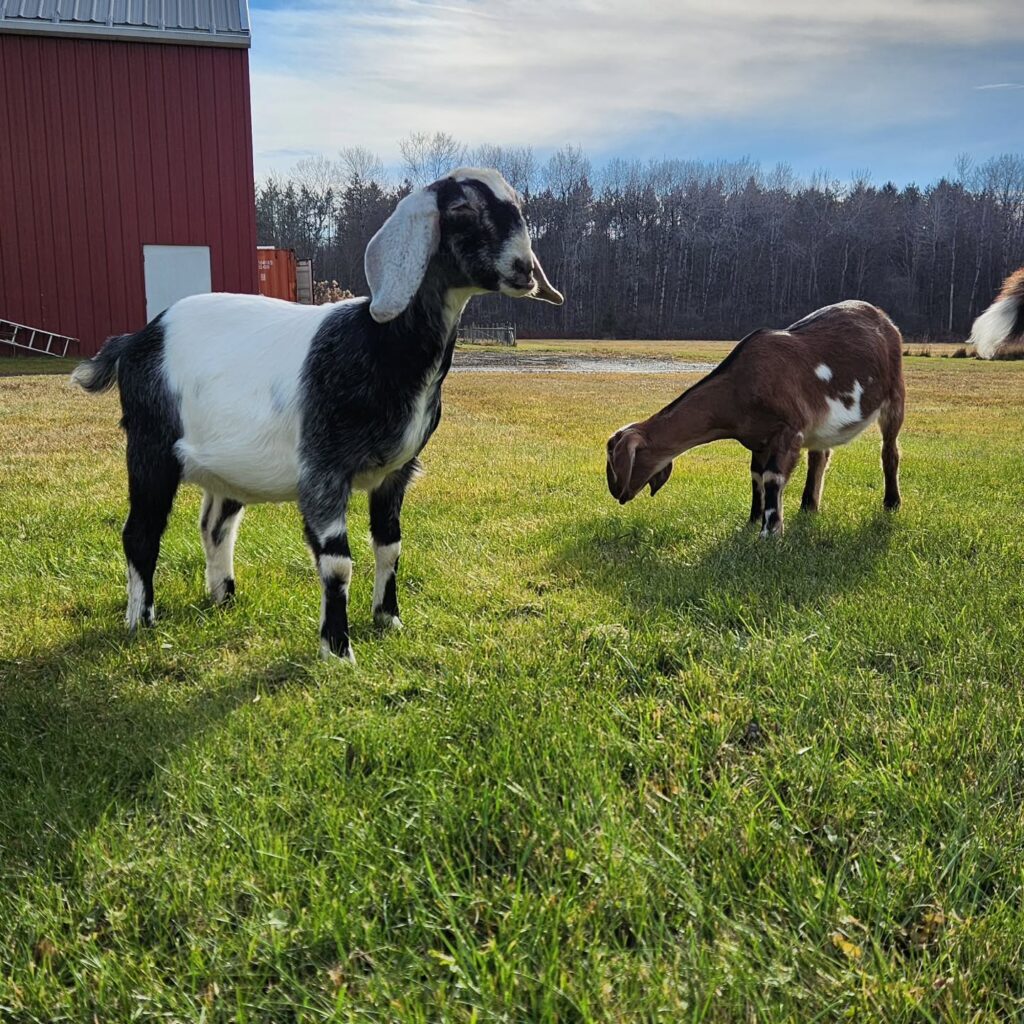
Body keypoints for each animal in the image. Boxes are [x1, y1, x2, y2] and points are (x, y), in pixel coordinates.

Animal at [71, 168, 563, 663]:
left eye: (518, 208)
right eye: (461, 209)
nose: (523, 270)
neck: (377, 343)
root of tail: (134, 340)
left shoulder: (397, 472)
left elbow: (390, 547)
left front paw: (389, 620)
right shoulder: (324, 470)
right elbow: (338, 562)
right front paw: (338, 649)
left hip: (227, 465)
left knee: (214, 526)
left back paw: (224, 596)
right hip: (150, 446)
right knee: (140, 533)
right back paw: (141, 620)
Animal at [606, 300, 905, 536]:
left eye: (614, 460)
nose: (616, 493)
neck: (739, 387)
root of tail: (883, 318)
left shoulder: (788, 430)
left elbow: (772, 477)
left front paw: (770, 532)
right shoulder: (758, 439)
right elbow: (756, 477)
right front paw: (753, 521)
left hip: (894, 397)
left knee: (889, 451)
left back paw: (891, 503)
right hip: (822, 427)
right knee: (819, 455)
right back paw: (808, 506)